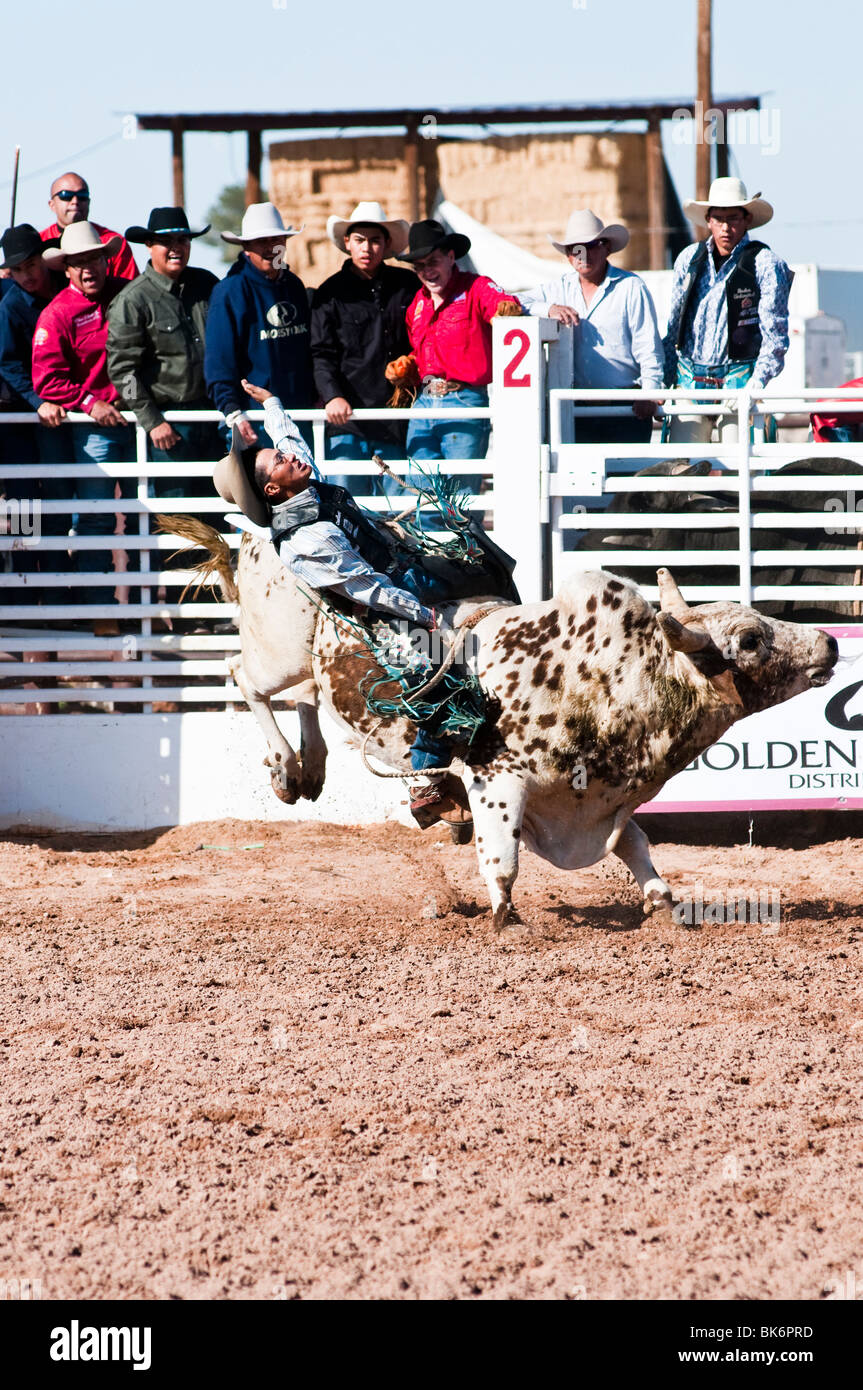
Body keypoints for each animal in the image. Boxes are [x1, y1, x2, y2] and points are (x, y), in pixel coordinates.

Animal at [160, 517, 838, 931]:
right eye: (748, 638)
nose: (830, 641)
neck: (605, 677)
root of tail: (256, 535)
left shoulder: (602, 799)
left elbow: (637, 848)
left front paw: (665, 908)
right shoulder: (498, 782)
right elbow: (503, 858)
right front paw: (503, 919)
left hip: (308, 665)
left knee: (306, 696)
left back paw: (314, 768)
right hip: (277, 649)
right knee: (245, 676)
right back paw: (284, 770)